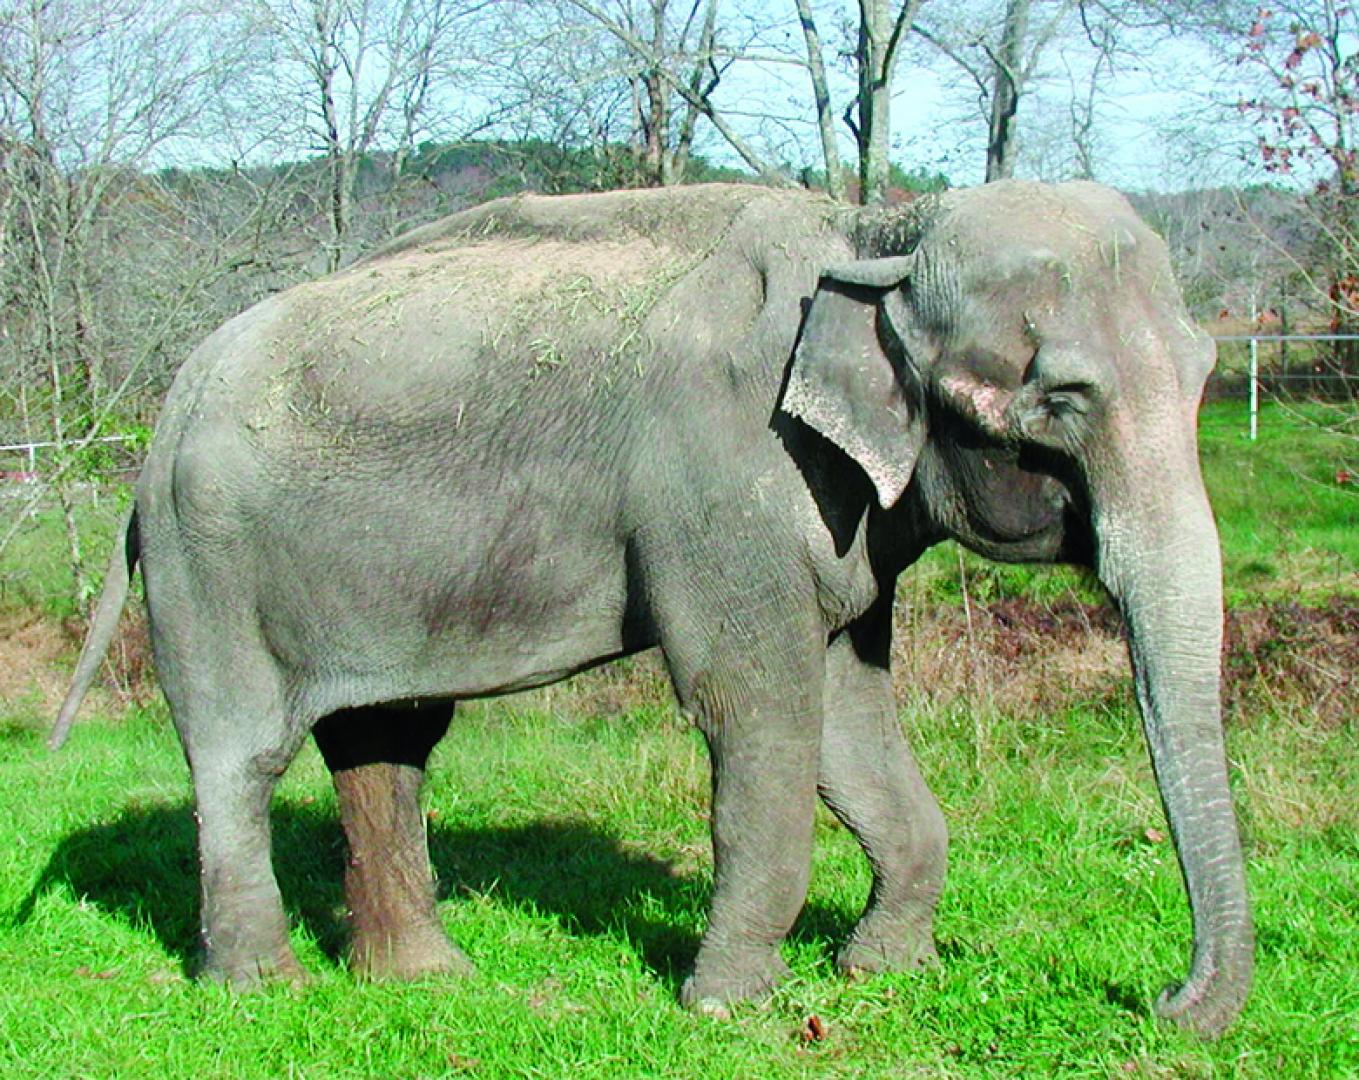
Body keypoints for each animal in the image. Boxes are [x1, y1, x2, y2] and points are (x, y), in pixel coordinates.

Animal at [53, 179, 1252, 1036]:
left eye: (1207, 373)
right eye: (1061, 401)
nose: (1163, 1005)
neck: (875, 227)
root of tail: (161, 415)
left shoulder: (833, 508)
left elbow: (846, 712)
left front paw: (877, 973)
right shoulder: (722, 475)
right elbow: (754, 705)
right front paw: (728, 1008)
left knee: (386, 740)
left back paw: (426, 983)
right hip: (207, 555)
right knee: (241, 753)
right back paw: (265, 991)